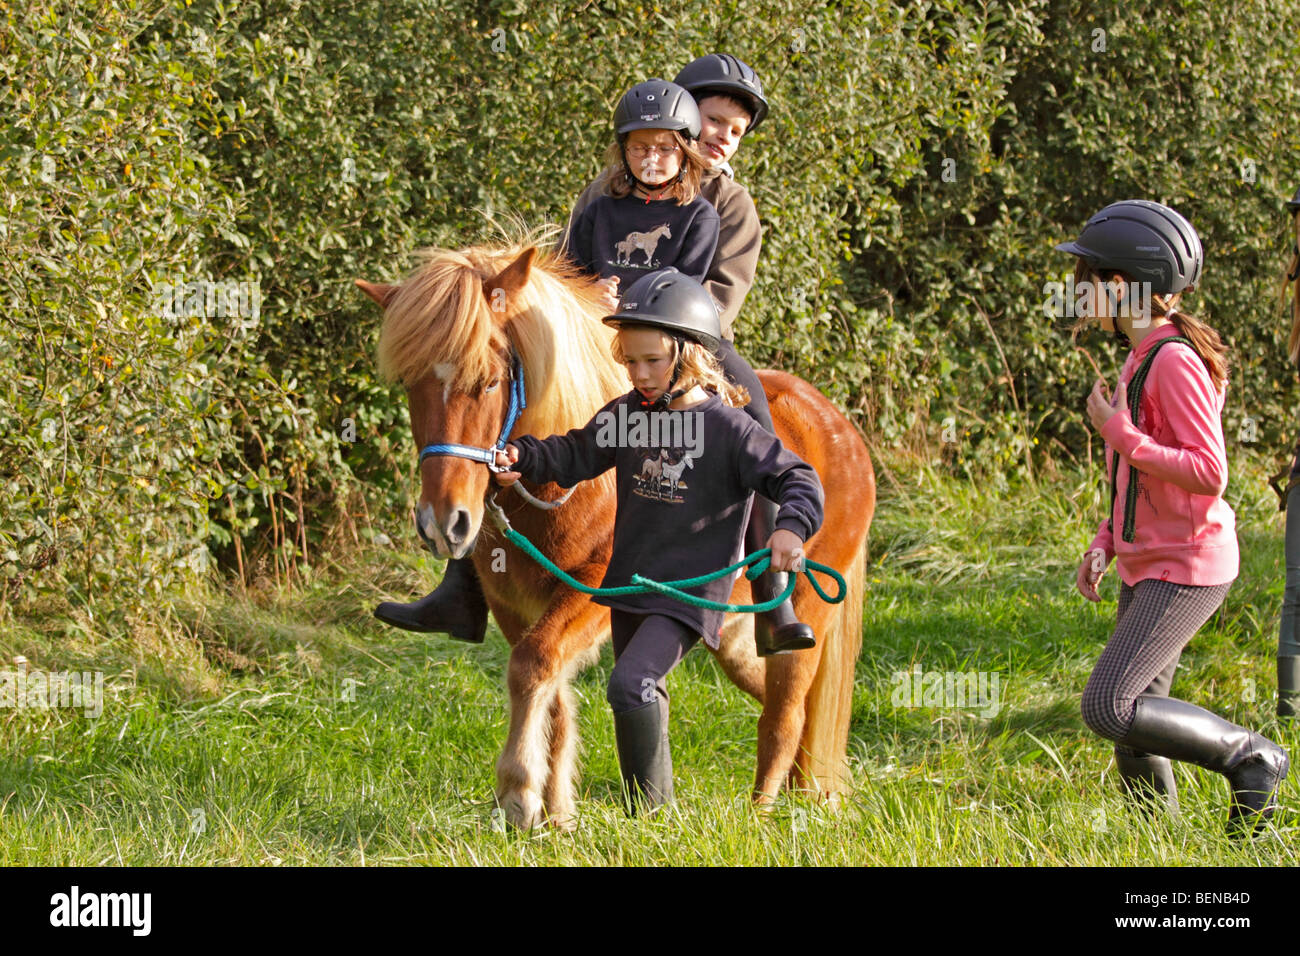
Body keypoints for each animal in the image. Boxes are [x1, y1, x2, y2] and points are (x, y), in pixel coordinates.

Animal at [358, 234, 874, 829]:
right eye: (410, 385)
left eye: (487, 381)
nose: (443, 524)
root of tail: (842, 430)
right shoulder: (515, 604)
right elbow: (549, 687)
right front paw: (555, 813)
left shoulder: (595, 590)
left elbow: (533, 666)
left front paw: (517, 793)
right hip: (736, 636)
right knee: (786, 703)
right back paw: (805, 796)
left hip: (798, 624)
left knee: (785, 712)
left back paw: (764, 815)